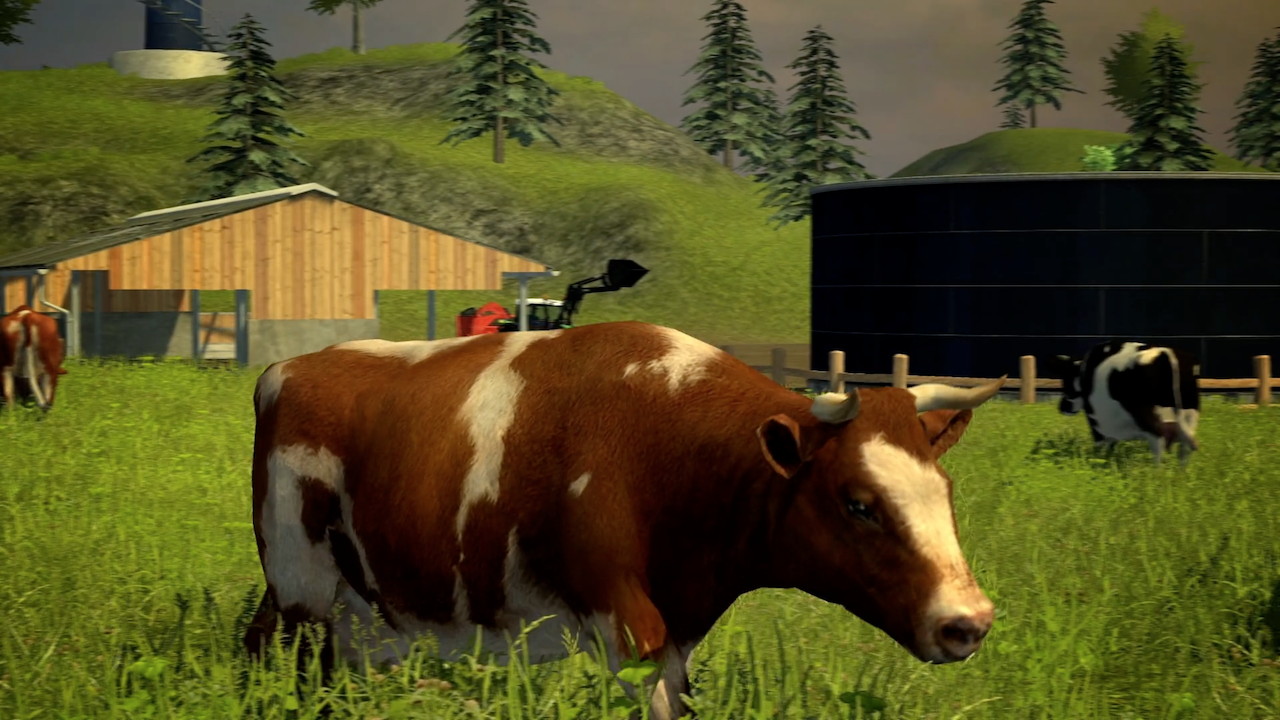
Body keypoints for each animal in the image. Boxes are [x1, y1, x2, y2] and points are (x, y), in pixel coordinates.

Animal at [244, 321, 1006, 720]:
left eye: (944, 489)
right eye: (858, 502)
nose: (967, 622)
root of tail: (288, 366)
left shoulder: (677, 633)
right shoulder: (625, 622)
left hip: (349, 606)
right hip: (303, 586)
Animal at [1041, 341, 1201, 466]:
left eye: (1066, 380)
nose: (1062, 407)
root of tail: (1164, 352)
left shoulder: (1095, 420)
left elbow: (1101, 444)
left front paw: (1099, 462)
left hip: (1148, 418)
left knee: (1159, 443)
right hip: (1189, 416)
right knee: (1184, 449)